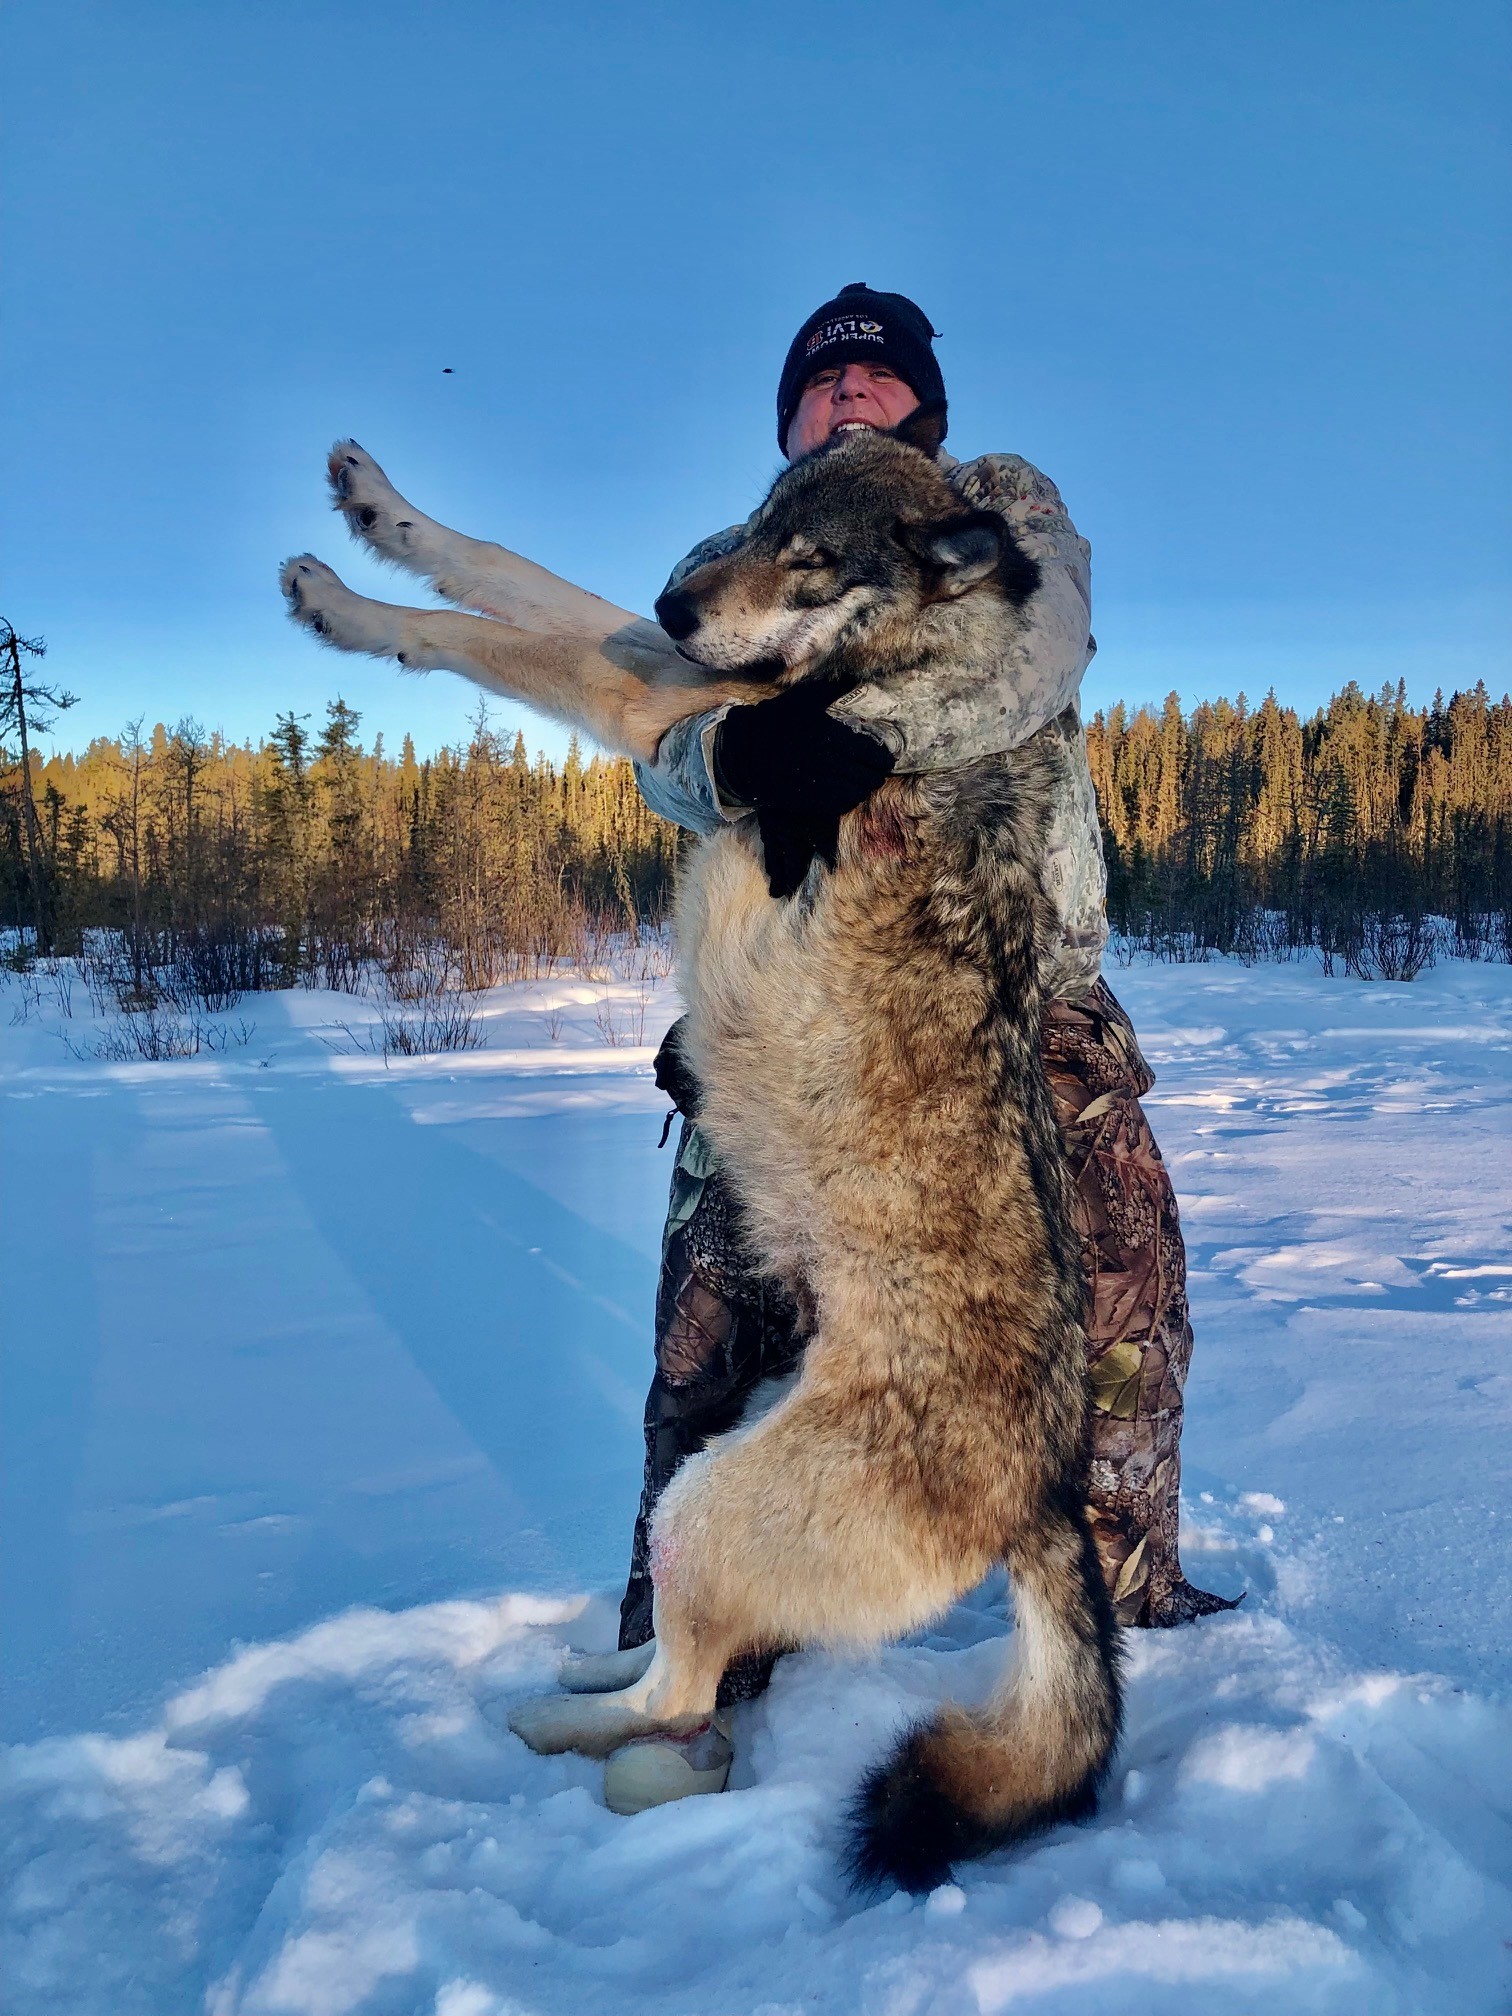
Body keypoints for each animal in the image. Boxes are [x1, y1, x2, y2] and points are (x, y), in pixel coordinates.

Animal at [280, 404, 1121, 1892]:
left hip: (705, 1510)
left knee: (675, 1700)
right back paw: (577, 1670)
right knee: (673, 1672)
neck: (911, 672)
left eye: (812, 555)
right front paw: (376, 511)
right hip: (703, 1463)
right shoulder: (681, 679)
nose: (679, 594)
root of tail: (1050, 1496)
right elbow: (511, 572)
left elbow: (497, 633)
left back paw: (543, 1715)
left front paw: (344, 605)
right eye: (754, 518)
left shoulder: (670, 705)